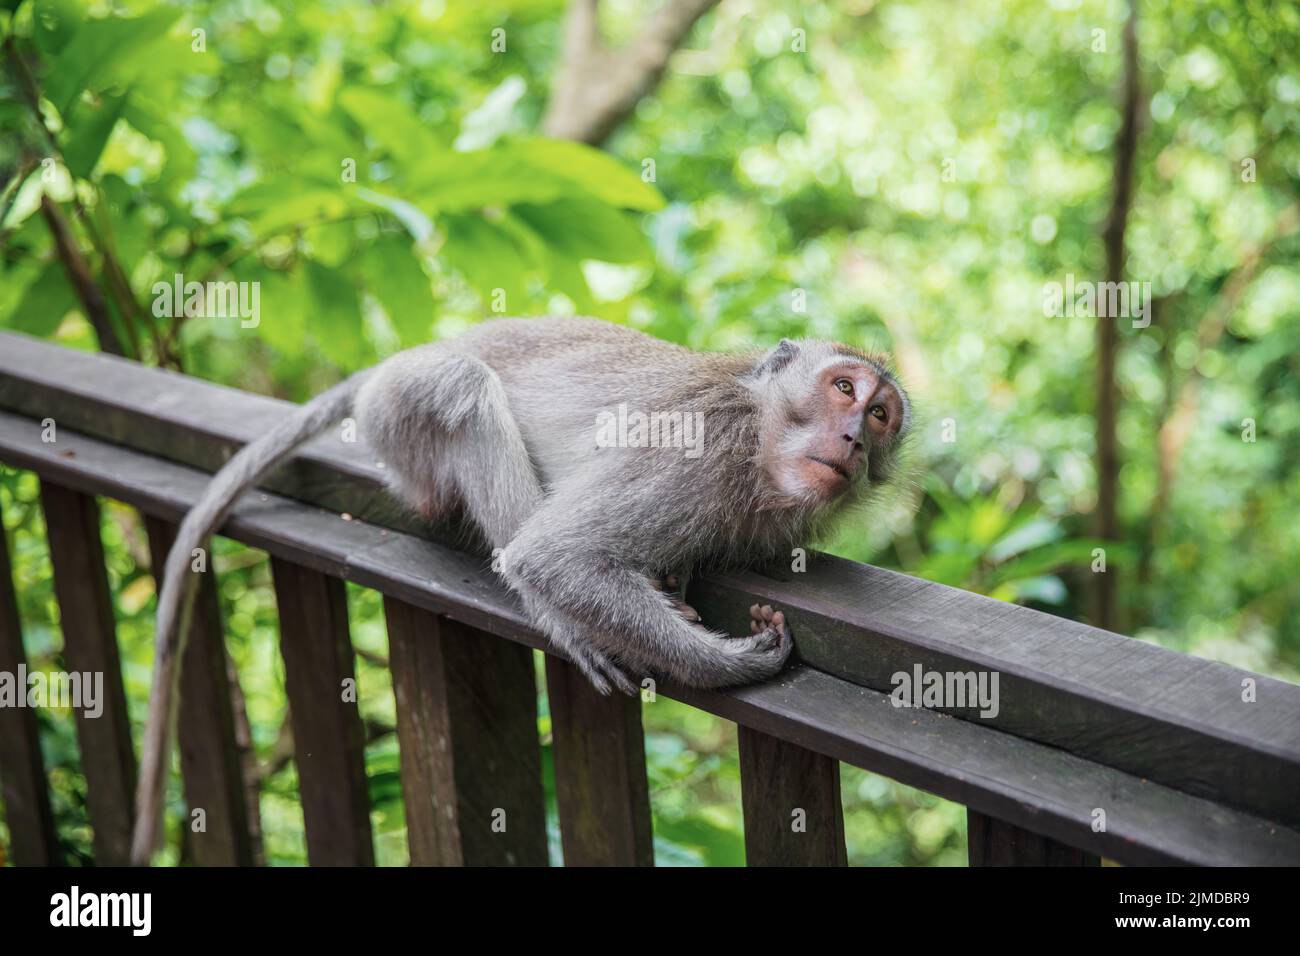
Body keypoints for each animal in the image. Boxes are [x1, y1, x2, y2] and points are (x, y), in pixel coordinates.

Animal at [131, 316, 910, 863]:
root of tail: (401, 360)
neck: (760, 438)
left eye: (880, 416)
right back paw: (562, 622)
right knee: (467, 396)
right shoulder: (698, 445)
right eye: (843, 389)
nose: (853, 438)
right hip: (401, 409)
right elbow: (556, 554)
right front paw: (726, 664)